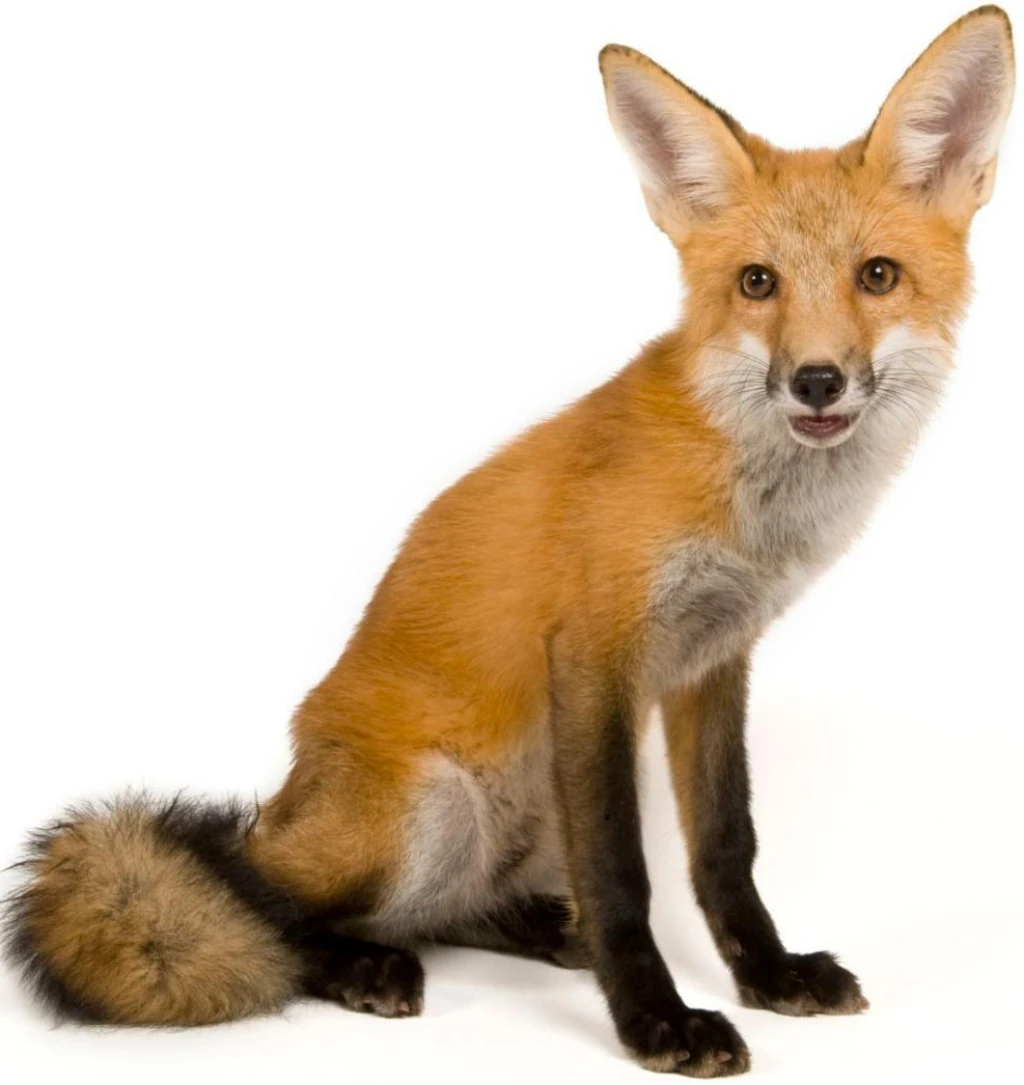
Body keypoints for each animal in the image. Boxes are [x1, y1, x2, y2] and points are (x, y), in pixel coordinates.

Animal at [3, 6, 1015, 1078]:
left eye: (878, 277)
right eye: (757, 283)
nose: (816, 379)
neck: (748, 498)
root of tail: (288, 801)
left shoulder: (713, 662)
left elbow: (724, 846)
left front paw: (769, 973)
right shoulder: (595, 655)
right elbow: (624, 876)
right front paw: (656, 1019)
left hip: (524, 810)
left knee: (447, 909)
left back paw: (532, 928)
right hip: (433, 804)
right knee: (262, 904)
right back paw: (356, 963)